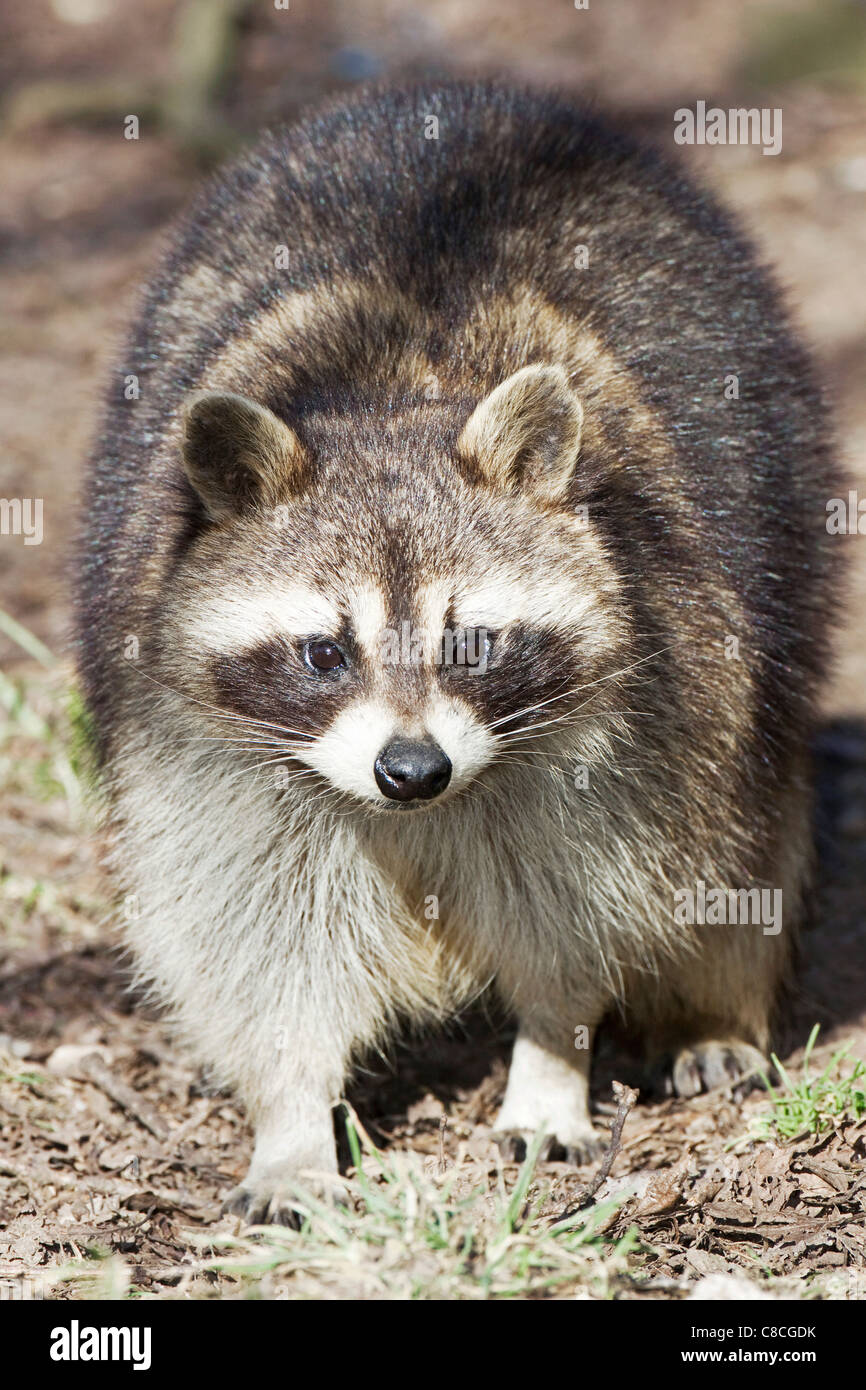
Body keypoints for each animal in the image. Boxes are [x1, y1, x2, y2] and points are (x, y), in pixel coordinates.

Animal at [76, 80, 837, 1221]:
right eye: (324, 653)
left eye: (470, 641)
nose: (411, 770)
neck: (391, 393)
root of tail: (463, 97)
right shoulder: (192, 740)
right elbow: (255, 930)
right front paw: (291, 1114)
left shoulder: (655, 691)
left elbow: (585, 896)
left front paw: (553, 1054)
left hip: (775, 529)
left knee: (749, 820)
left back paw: (715, 1004)